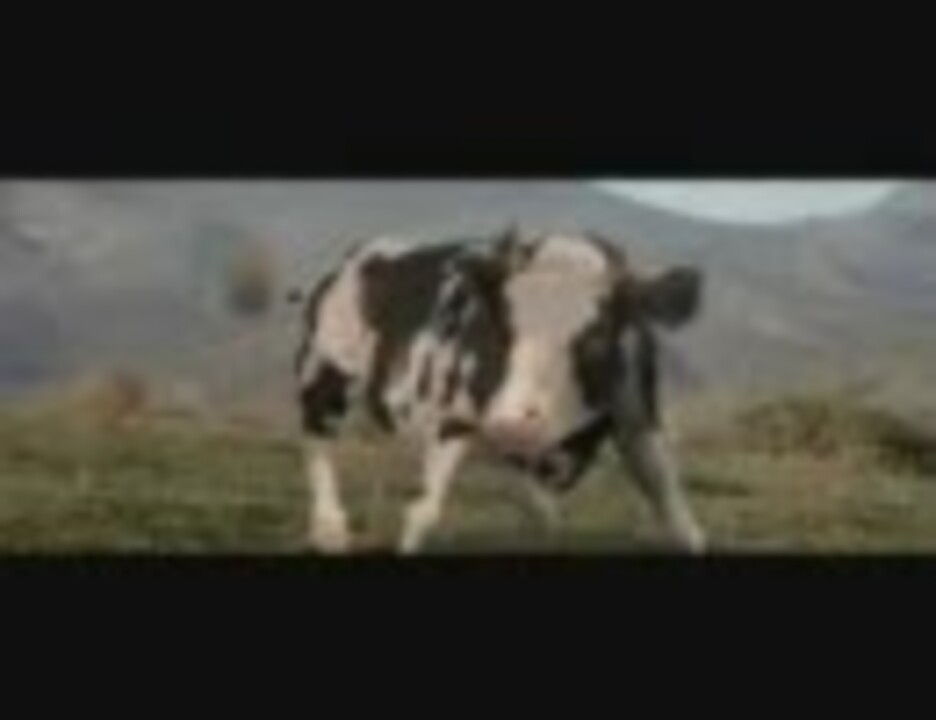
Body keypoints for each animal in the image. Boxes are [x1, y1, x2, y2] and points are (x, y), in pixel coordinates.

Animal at [293, 227, 706, 554]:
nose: (513, 421)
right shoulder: (455, 415)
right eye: (501, 329)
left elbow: (672, 504)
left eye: (598, 336)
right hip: (322, 370)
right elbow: (423, 513)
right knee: (317, 439)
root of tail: (355, 257)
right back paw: (329, 528)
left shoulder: (637, 417)